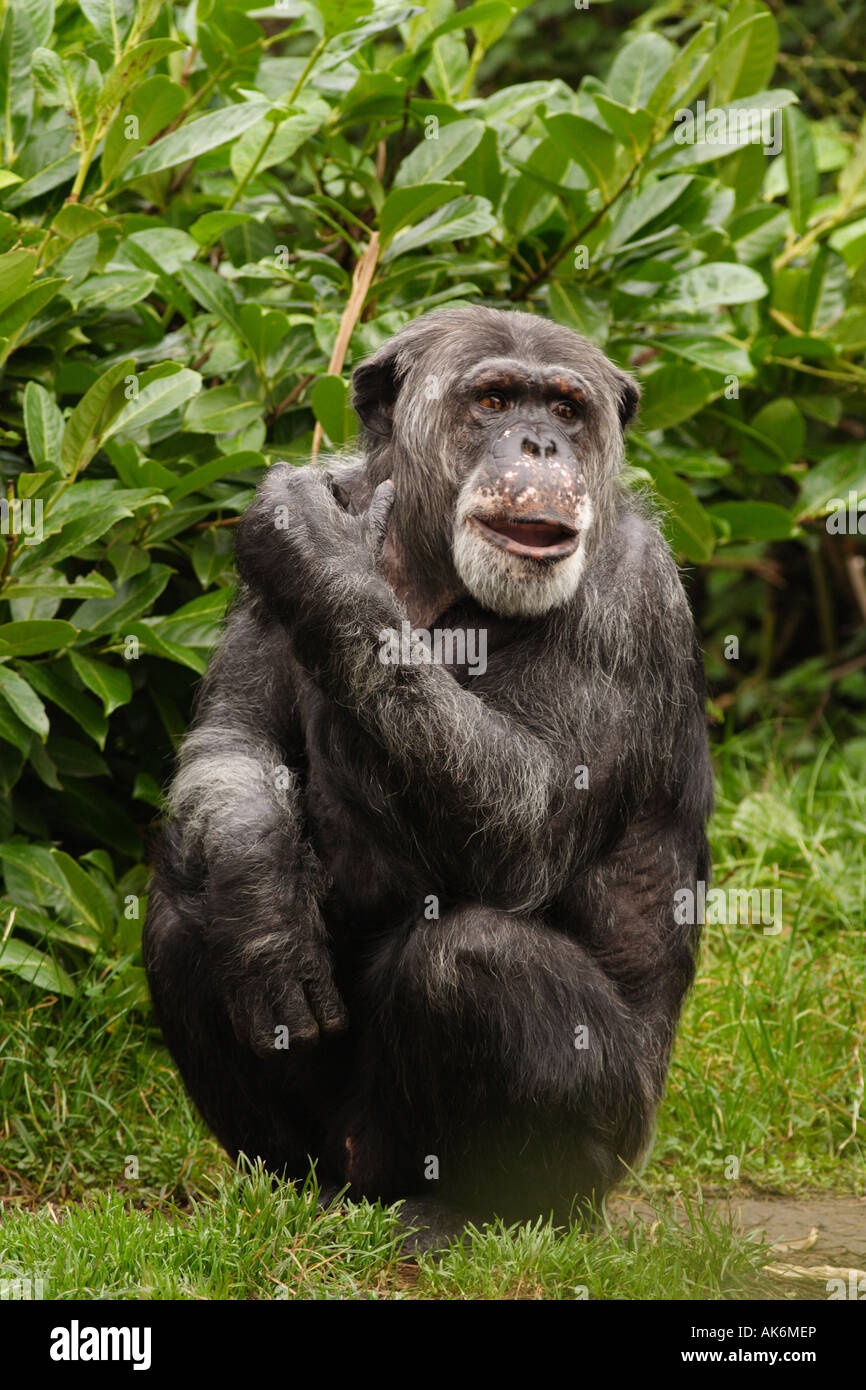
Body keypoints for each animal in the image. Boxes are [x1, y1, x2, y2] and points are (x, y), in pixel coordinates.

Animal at [143, 306, 712, 1225]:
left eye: (567, 408)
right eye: (493, 399)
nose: (540, 445)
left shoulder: (631, 599)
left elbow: (528, 819)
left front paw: (322, 560)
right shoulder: (258, 589)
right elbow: (233, 741)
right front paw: (263, 908)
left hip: (604, 1144)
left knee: (467, 960)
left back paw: (470, 1216)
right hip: (338, 1148)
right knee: (181, 908)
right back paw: (287, 1186)